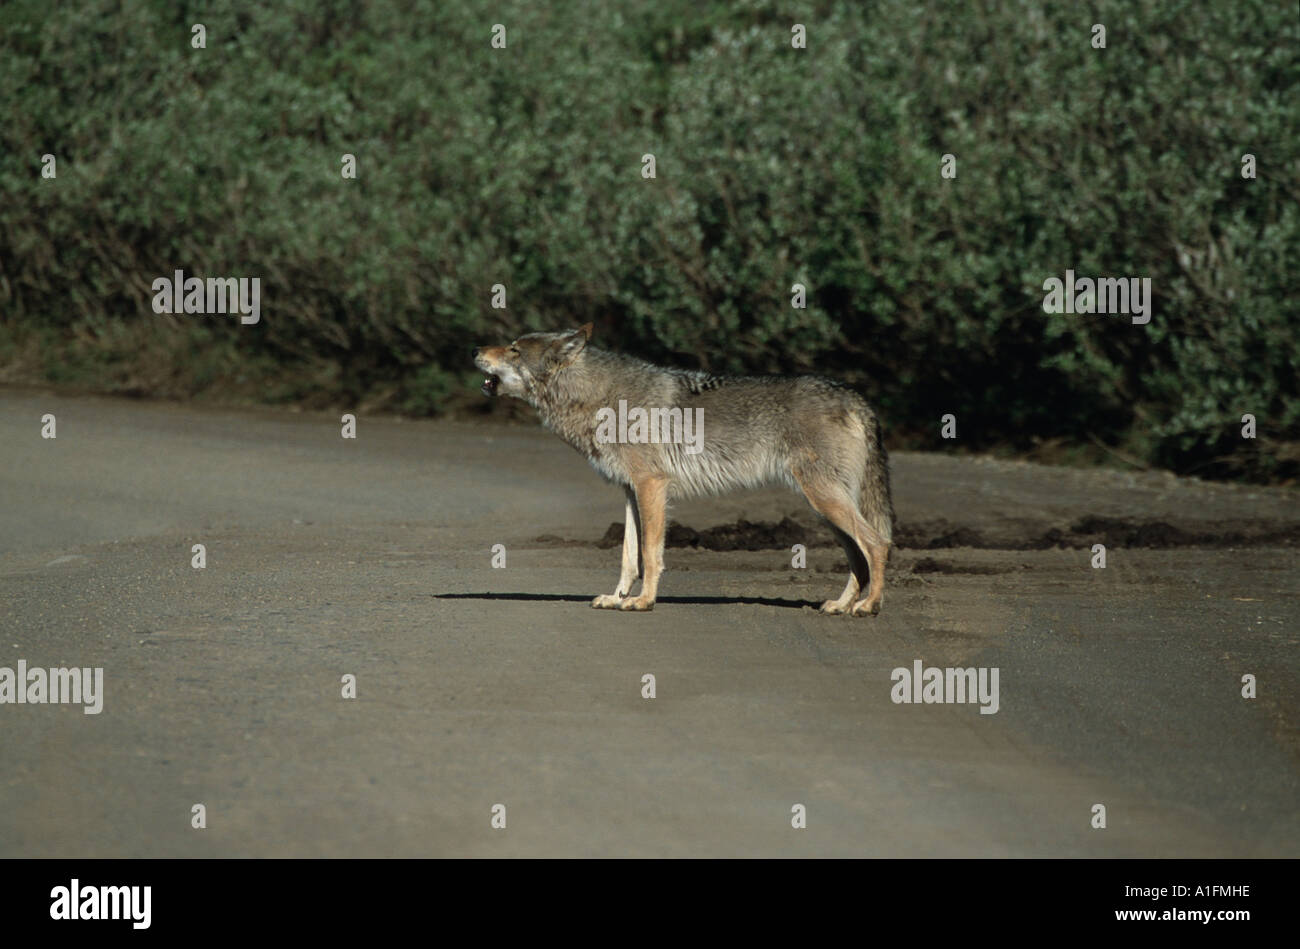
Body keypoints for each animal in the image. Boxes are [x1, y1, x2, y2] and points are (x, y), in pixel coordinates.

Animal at [474, 324, 893, 615]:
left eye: (514, 348)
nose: (474, 348)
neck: (599, 399)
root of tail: (855, 397)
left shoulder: (651, 485)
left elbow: (650, 554)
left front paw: (644, 601)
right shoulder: (631, 490)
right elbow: (628, 556)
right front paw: (617, 597)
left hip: (825, 502)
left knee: (877, 543)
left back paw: (869, 606)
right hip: (826, 509)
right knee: (860, 557)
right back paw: (842, 605)